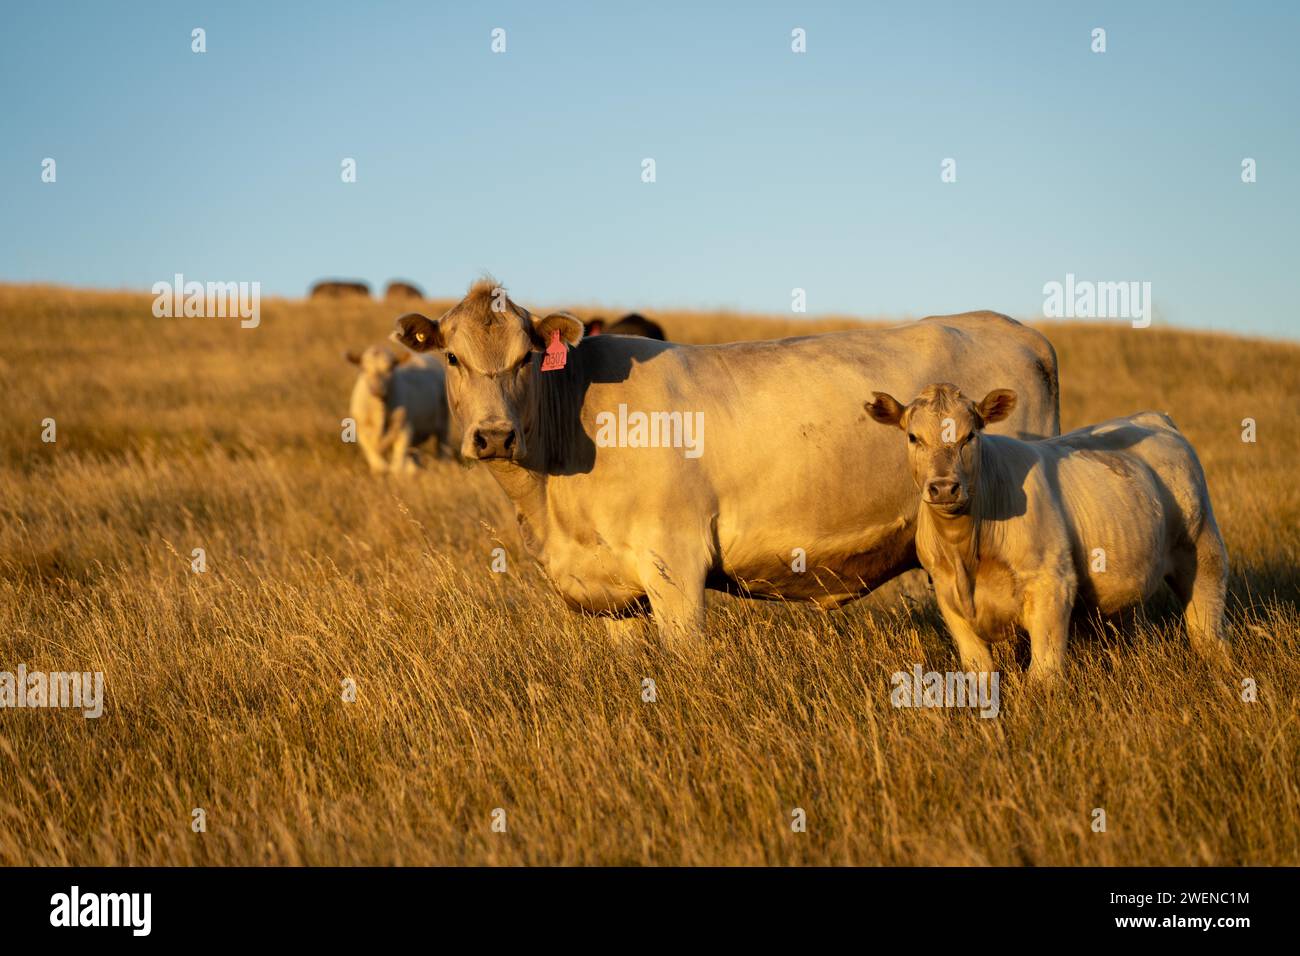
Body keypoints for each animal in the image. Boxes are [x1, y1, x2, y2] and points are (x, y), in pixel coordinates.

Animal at [345, 345, 451, 474]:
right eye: (364, 368)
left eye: (390, 368)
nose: (377, 389)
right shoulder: (361, 430)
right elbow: (376, 460)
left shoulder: (404, 428)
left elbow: (397, 465)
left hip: (443, 420)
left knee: (442, 445)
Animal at [391, 278, 1060, 649]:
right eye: (452, 357)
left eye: (527, 357)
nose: (494, 435)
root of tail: (1016, 331)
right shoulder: (616, 593)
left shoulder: (675, 562)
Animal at [864, 383, 1229, 680]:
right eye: (913, 437)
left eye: (970, 436)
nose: (943, 487)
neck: (966, 551)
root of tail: (1151, 417)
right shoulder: (947, 596)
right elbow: (978, 669)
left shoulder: (1053, 583)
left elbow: (1044, 673)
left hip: (1202, 550)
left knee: (1206, 626)